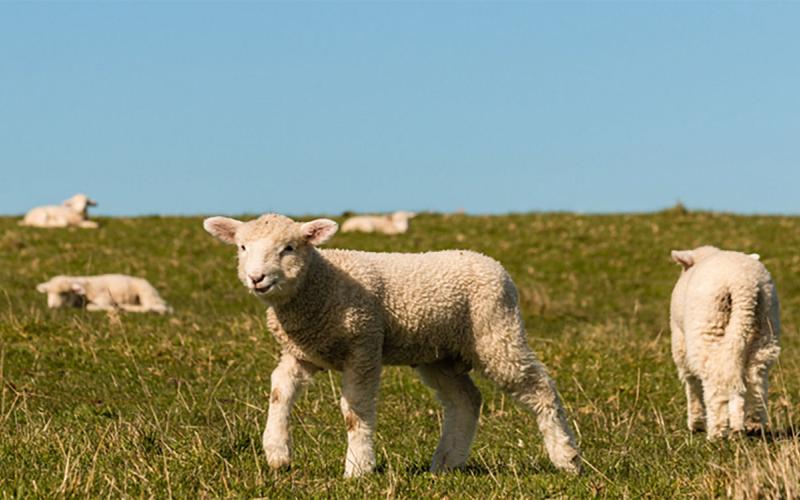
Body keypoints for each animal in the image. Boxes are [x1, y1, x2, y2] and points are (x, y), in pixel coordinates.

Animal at [36, 274, 172, 314]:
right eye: (48, 293)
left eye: (64, 293)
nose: (51, 306)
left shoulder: (104, 298)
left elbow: (90, 307)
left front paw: (112, 308)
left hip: (146, 293)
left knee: (156, 307)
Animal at [203, 213, 581, 477]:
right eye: (242, 248)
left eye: (289, 248)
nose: (257, 278)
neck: (321, 283)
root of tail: (493, 263)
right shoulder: (301, 352)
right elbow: (279, 391)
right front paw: (277, 453)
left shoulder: (364, 345)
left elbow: (354, 410)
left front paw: (358, 468)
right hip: (439, 354)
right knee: (466, 400)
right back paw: (447, 462)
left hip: (497, 334)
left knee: (541, 389)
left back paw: (567, 457)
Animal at [670, 245, 780, 439]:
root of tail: (744, 285)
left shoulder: (679, 342)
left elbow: (691, 382)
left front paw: (695, 423)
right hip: (765, 328)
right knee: (754, 379)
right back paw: (751, 424)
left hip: (708, 327)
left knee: (716, 382)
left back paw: (717, 432)